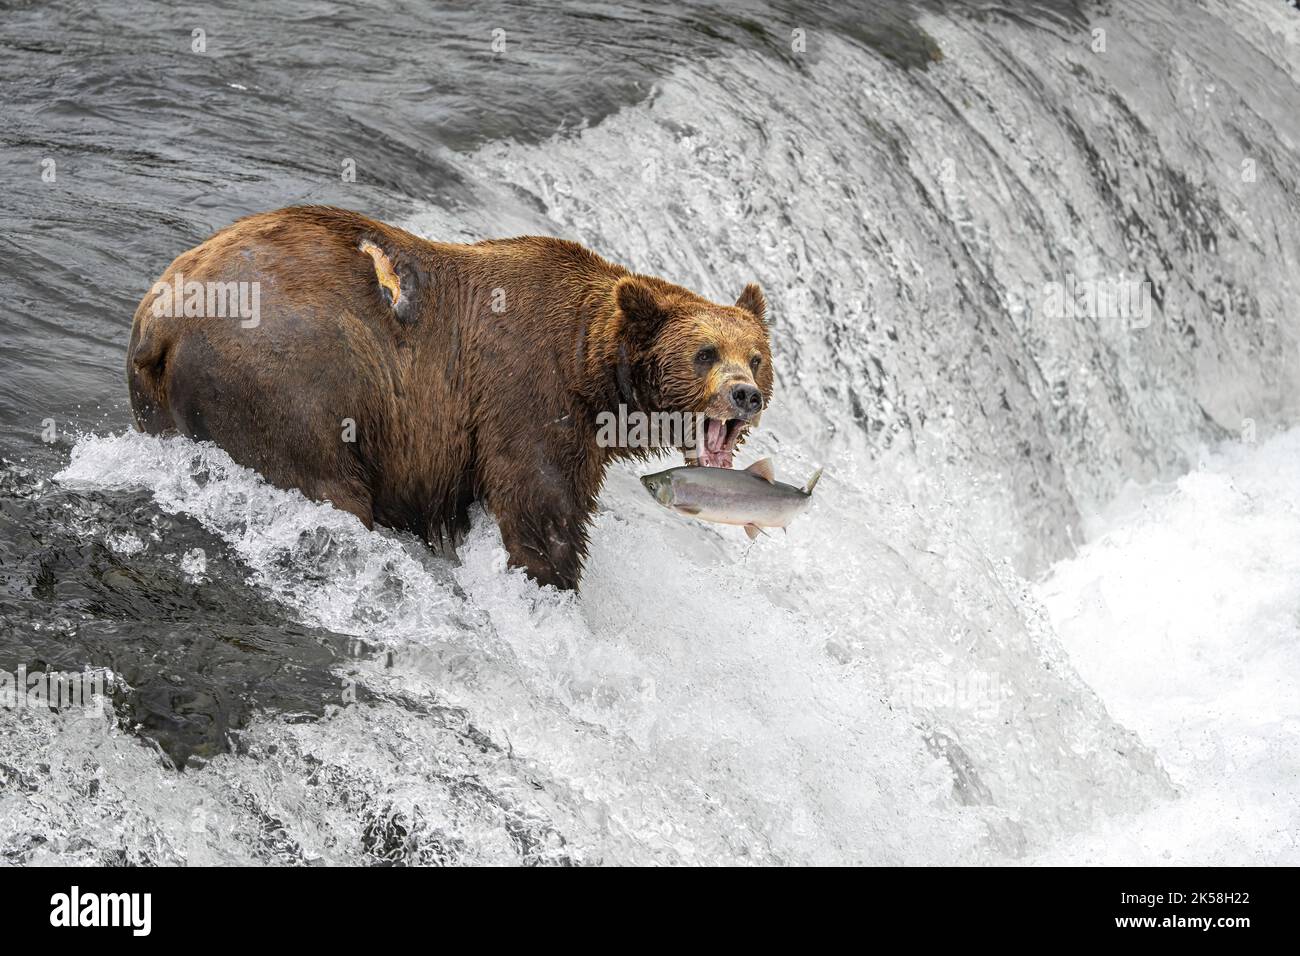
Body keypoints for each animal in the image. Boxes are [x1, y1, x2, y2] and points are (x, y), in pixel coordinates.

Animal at [126, 206, 773, 590]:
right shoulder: (524, 393)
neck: (591, 368)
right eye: (705, 353)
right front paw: (552, 577)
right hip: (294, 380)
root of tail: (161, 320)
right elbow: (540, 507)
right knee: (327, 482)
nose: (745, 394)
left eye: (757, 357)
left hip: (160, 403)